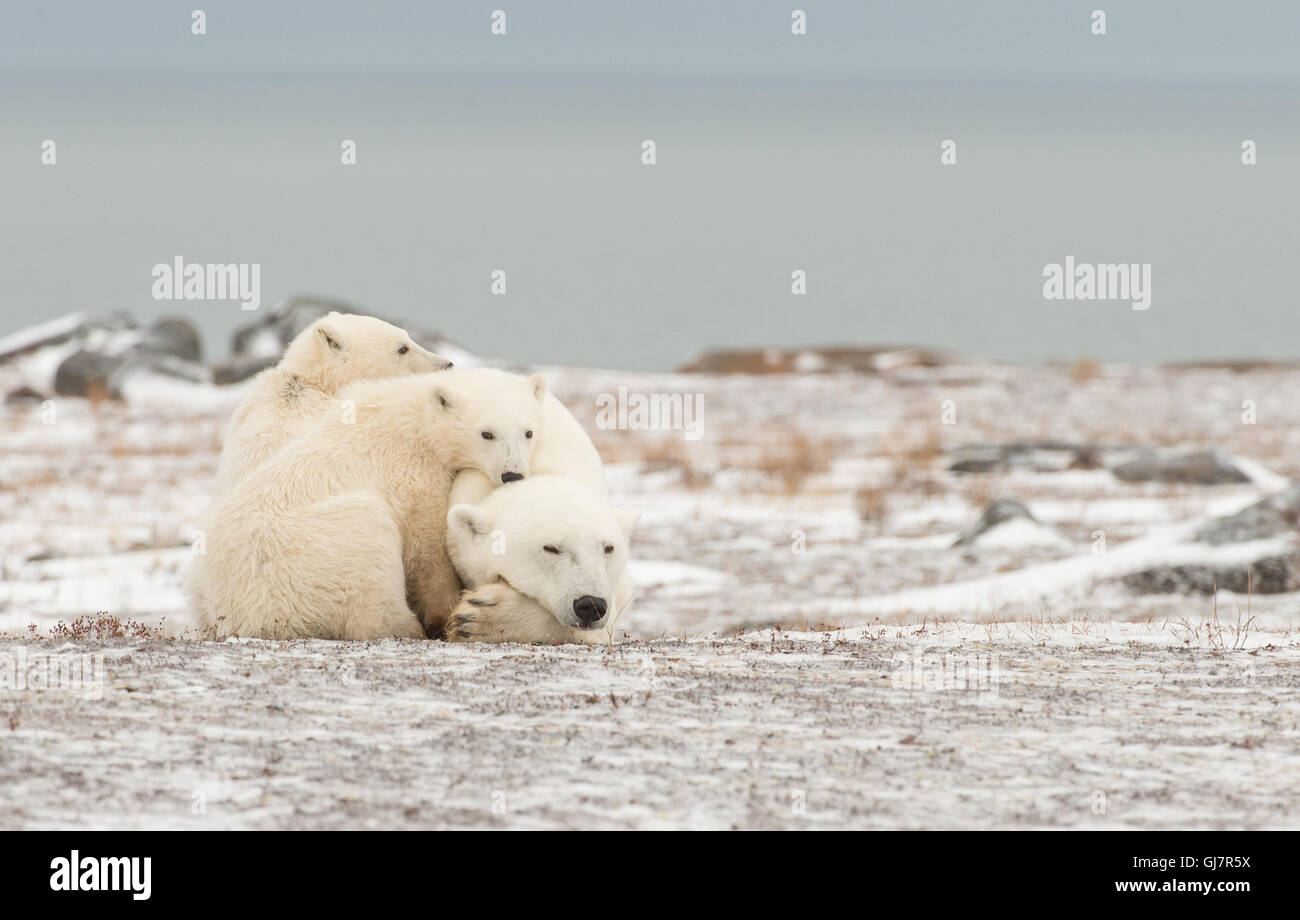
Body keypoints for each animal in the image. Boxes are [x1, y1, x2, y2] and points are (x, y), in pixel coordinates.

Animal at [188, 368, 547, 639]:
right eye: (487, 433)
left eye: (528, 432)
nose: (513, 474)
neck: (416, 418)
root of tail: (235, 613)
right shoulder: (412, 474)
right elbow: (427, 549)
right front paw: (449, 611)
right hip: (305, 560)